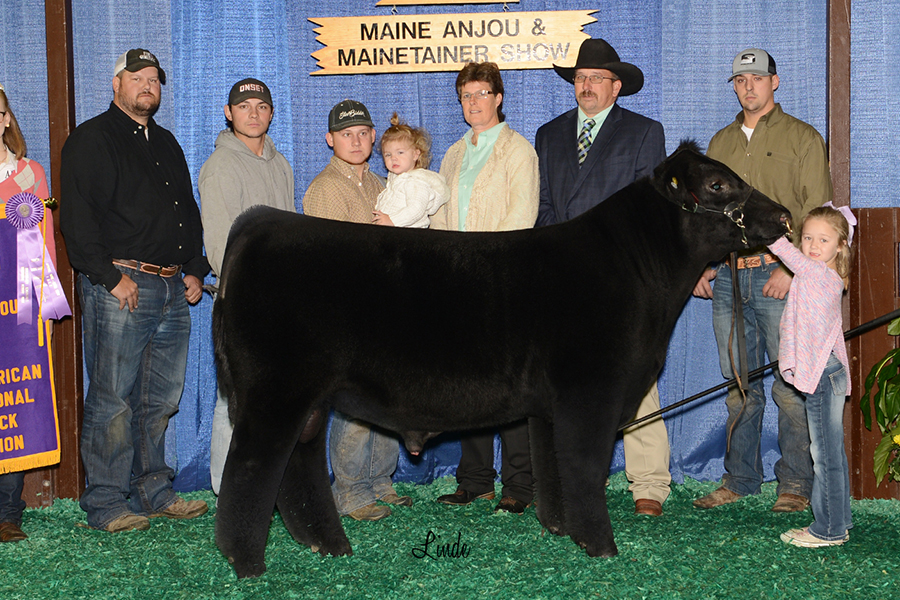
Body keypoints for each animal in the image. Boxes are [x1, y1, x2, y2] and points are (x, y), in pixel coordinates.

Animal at [213, 141, 790, 578]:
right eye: (717, 186)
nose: (784, 215)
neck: (636, 272)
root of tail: (260, 223)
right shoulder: (592, 394)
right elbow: (584, 468)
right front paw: (601, 547)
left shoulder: (552, 406)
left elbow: (554, 468)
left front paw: (561, 530)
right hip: (274, 394)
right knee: (250, 470)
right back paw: (247, 564)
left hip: (307, 401)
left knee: (298, 465)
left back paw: (326, 546)